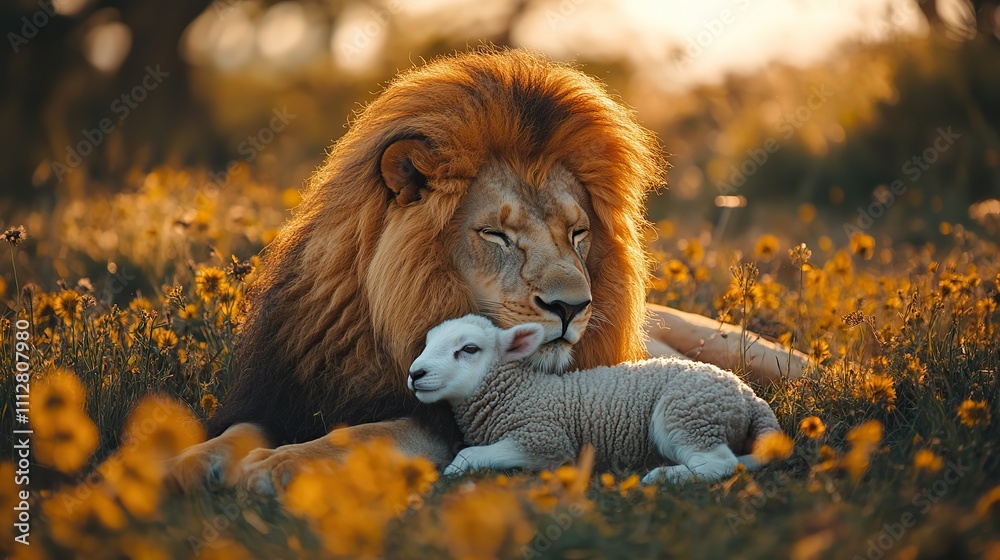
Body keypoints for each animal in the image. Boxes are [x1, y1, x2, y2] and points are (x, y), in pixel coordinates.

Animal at [407, 314, 782, 483]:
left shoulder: (545, 440)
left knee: (720, 463)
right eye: (428, 343)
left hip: (688, 413)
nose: (415, 374)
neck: (518, 391)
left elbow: (468, 454)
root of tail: (748, 395)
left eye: (469, 349)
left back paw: (663, 476)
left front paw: (454, 469)